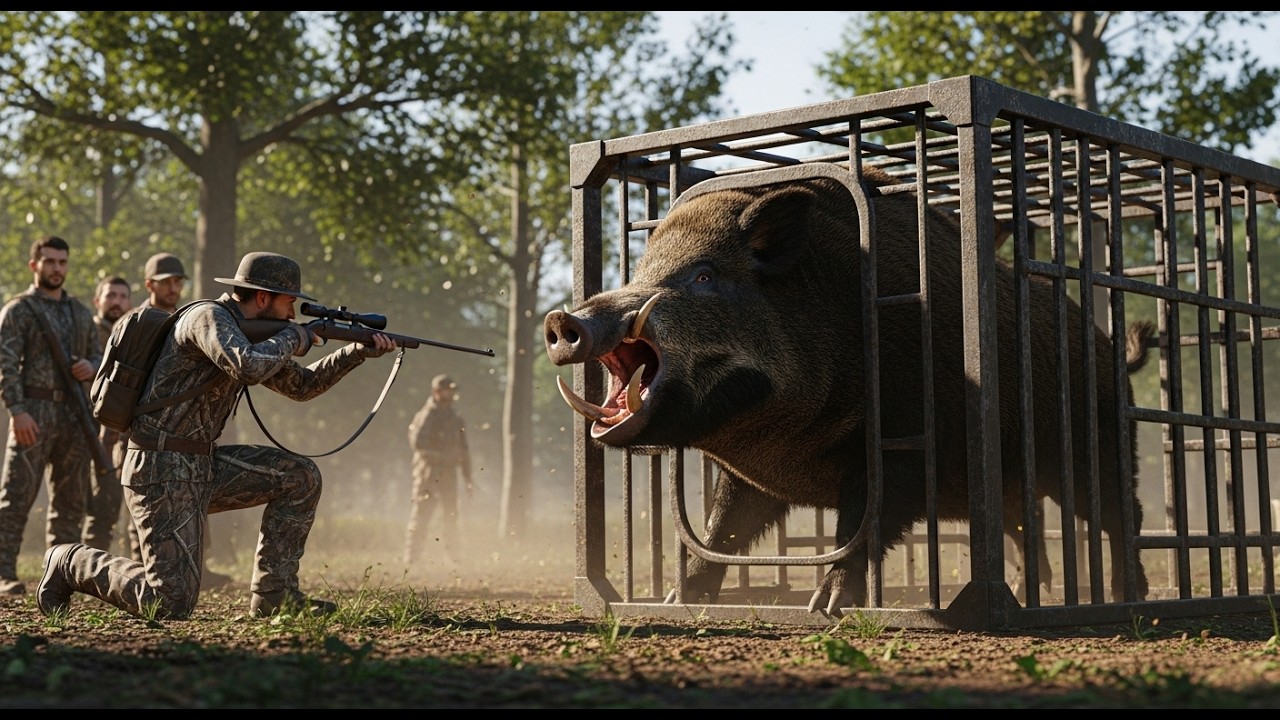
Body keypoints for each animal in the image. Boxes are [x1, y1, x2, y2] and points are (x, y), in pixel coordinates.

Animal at [543, 168, 1152, 616]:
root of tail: (1110, 351)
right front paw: (675, 600)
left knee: (1122, 513)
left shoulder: (903, 443)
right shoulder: (754, 477)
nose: (563, 320)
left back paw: (1130, 597)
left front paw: (827, 607)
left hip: (1097, 445)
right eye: (644, 270)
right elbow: (720, 530)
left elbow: (862, 524)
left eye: (704, 276)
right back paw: (1032, 597)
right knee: (1028, 534)